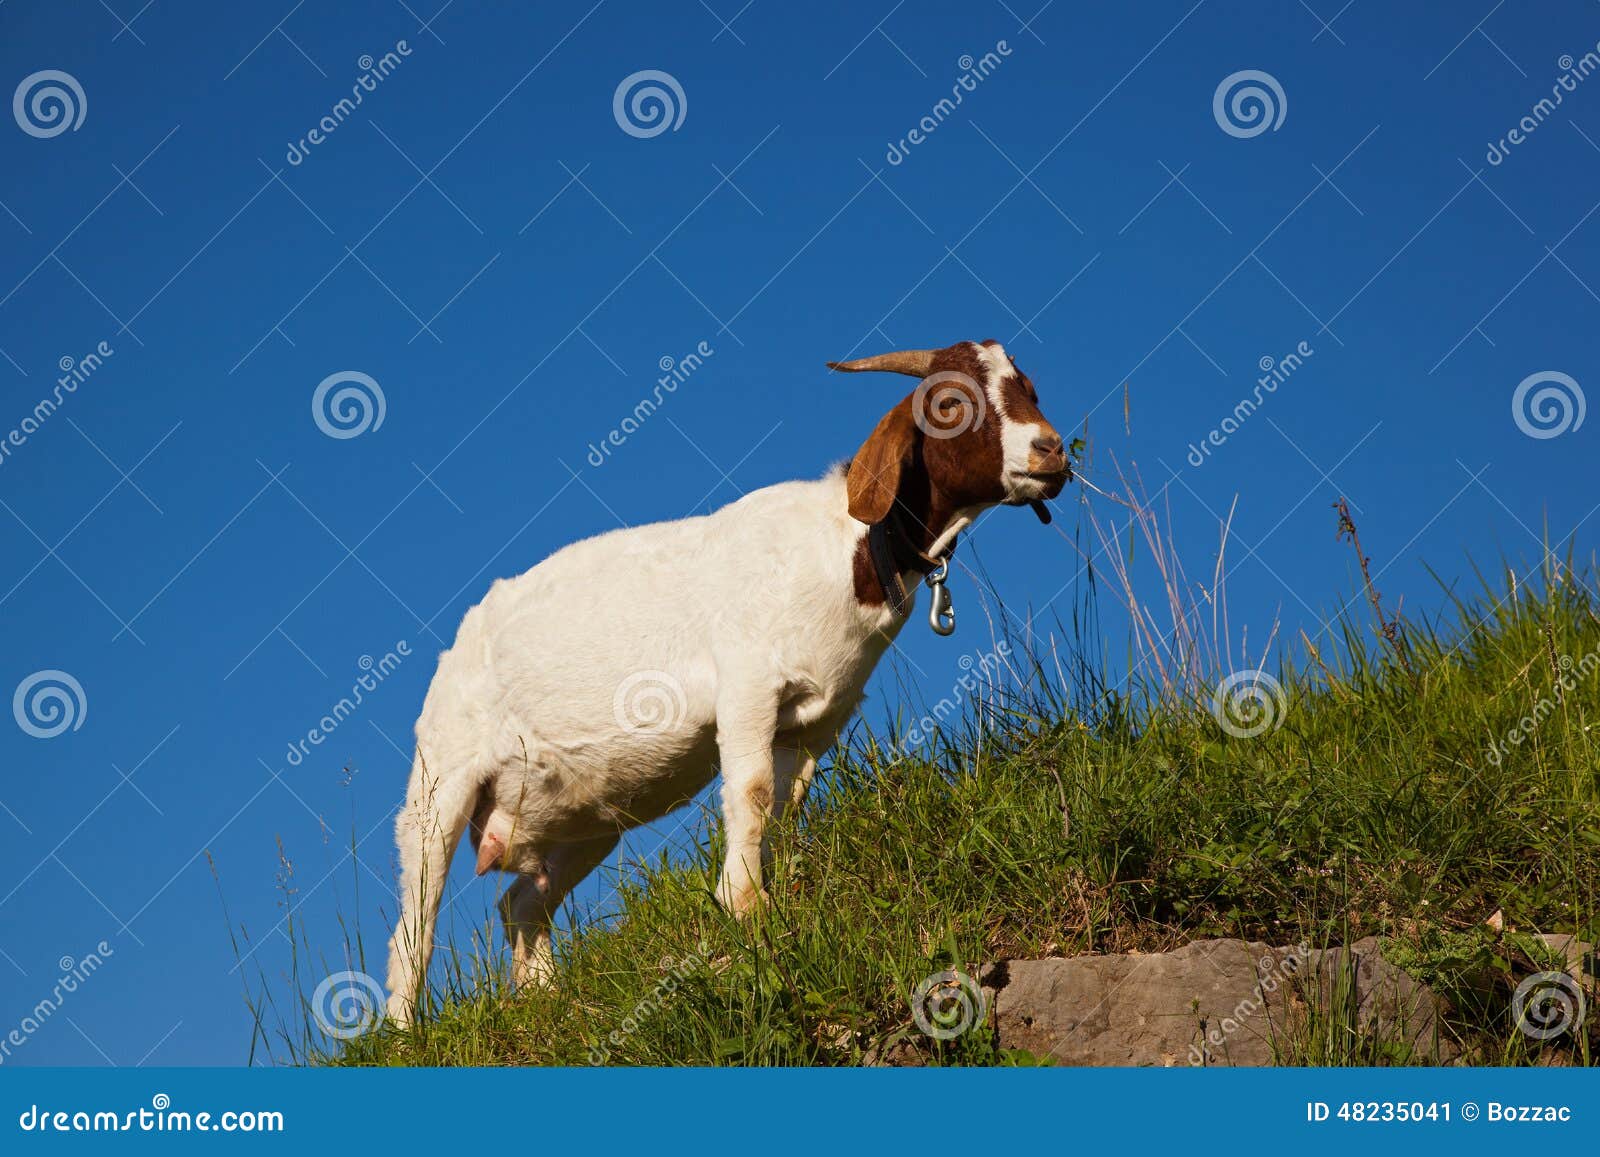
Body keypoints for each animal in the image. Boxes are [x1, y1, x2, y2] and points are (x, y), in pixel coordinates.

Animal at [385, 339, 1071, 1024]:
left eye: (1031, 390)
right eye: (948, 404)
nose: (1051, 450)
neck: (840, 551)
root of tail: (459, 644)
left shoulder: (820, 720)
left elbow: (788, 805)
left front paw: (776, 891)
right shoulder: (747, 686)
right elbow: (753, 791)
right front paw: (744, 907)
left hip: (587, 816)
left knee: (521, 902)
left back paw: (546, 999)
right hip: (441, 777)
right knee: (415, 922)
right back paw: (403, 1030)